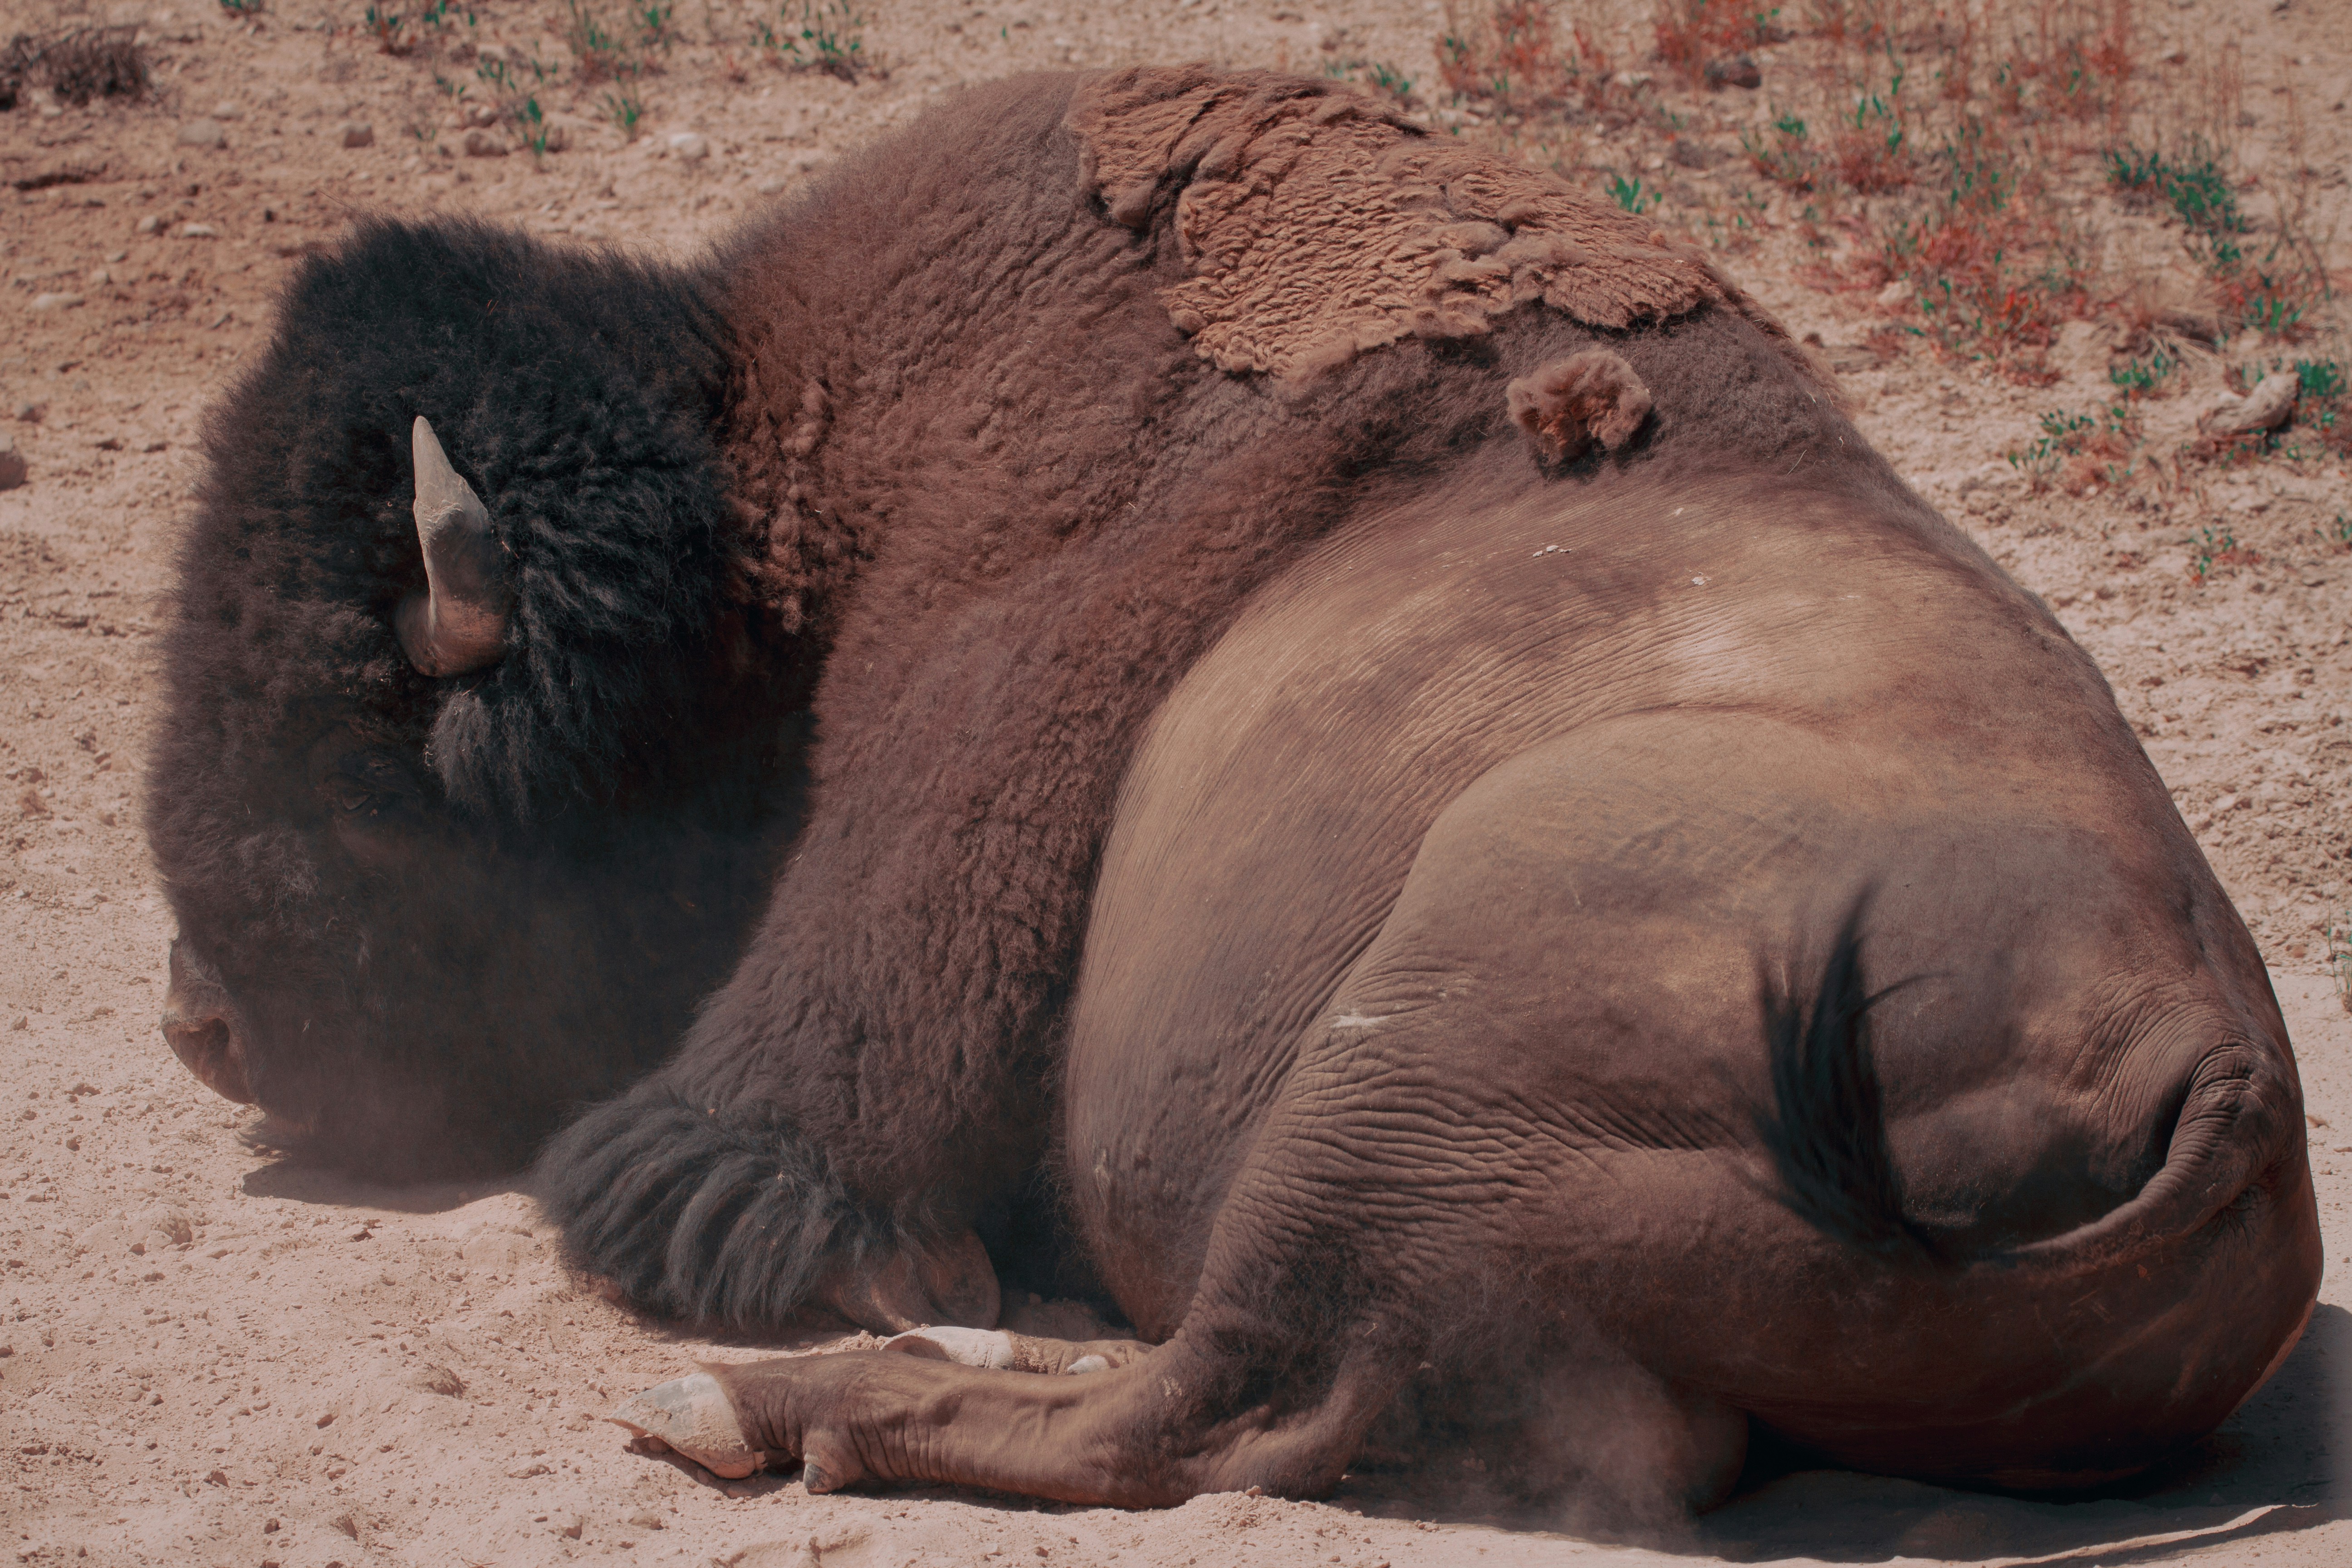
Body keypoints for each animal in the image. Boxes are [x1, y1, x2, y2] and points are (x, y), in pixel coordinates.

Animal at [149, 67, 2320, 1513]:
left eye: (349, 756)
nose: (204, 1029)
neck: (783, 469)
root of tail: (2206, 1068)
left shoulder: (982, 668)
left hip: (1407, 1050)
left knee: (1195, 1401)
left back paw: (739, 1401)